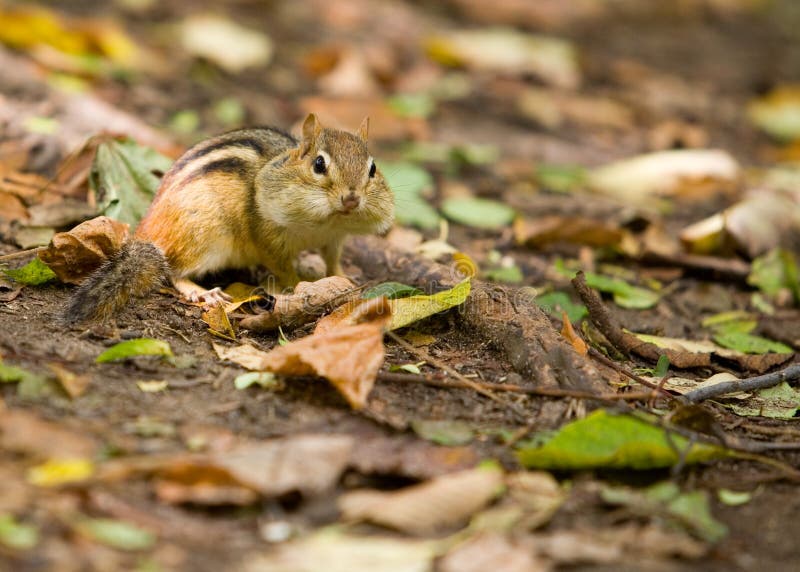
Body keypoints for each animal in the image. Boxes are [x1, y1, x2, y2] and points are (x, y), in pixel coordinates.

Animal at [63, 113, 395, 324]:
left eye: (373, 168)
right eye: (319, 164)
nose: (351, 198)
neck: (324, 223)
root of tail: (148, 228)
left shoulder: (334, 238)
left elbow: (333, 261)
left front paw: (347, 279)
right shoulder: (267, 234)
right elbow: (281, 266)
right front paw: (299, 284)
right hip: (203, 237)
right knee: (174, 271)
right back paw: (201, 292)